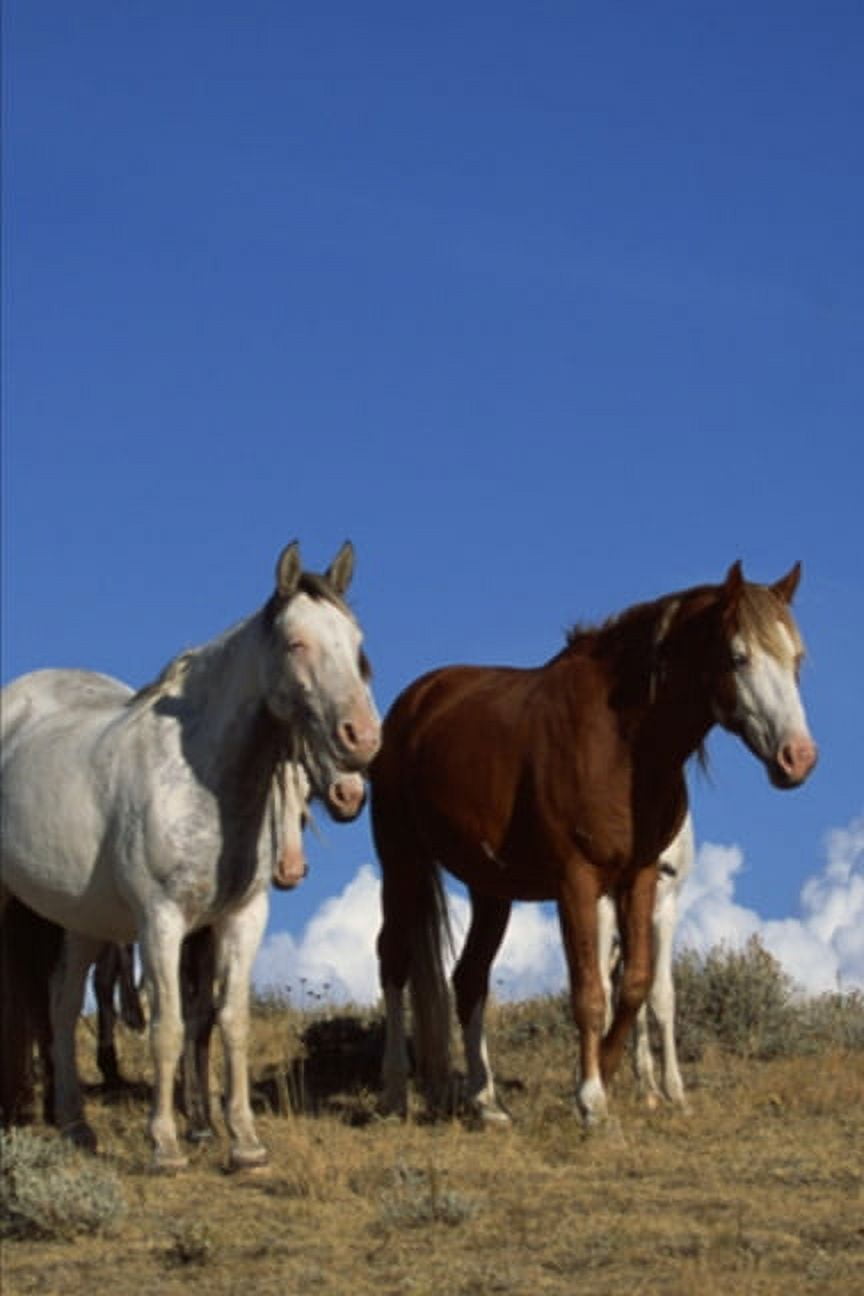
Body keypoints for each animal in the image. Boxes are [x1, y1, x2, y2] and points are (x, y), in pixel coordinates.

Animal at [0, 541, 380, 1169]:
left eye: (356, 643)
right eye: (296, 643)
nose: (363, 738)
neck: (202, 783)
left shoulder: (241, 917)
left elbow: (230, 1022)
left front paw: (245, 1143)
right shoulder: (161, 921)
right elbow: (169, 1027)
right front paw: (165, 1144)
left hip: (80, 919)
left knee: (60, 1003)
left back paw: (77, 1126)